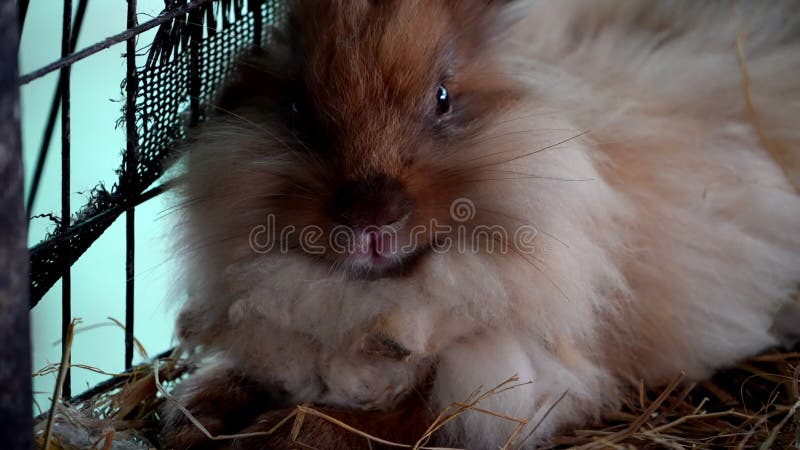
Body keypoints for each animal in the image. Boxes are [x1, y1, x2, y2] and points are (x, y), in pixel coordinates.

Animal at [160, 0, 800, 448]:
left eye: (443, 97)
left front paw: (260, 437)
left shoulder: (503, 385)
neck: (368, 301)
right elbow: (250, 375)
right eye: (297, 109)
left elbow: (364, 421)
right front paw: (186, 417)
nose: (371, 219)